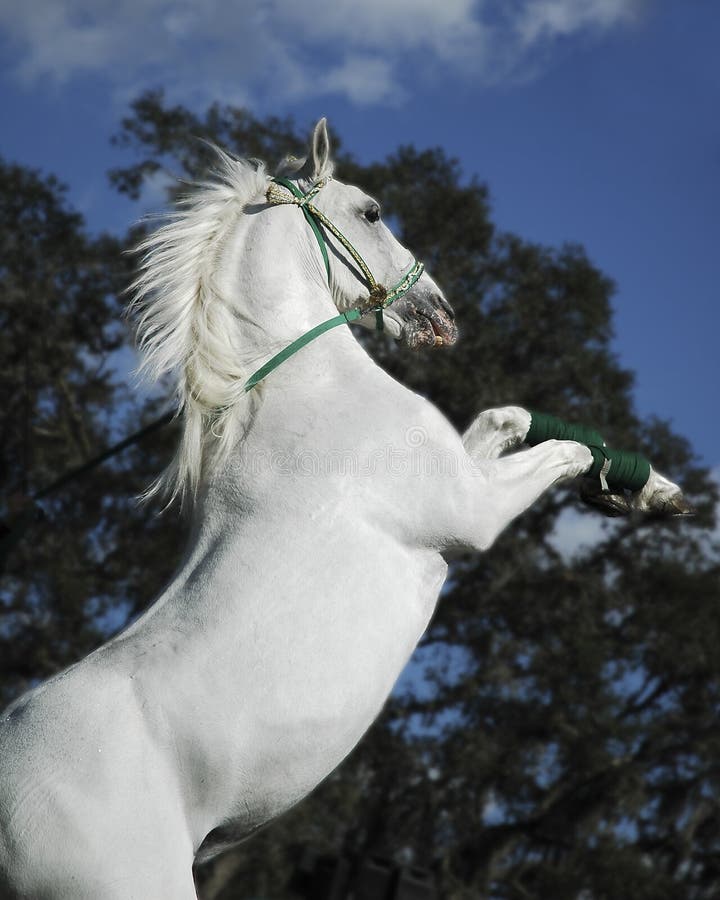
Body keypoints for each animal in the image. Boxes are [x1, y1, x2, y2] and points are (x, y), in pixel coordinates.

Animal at [0, 119, 690, 899]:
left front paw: (652, 487)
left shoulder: (463, 465)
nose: (441, 317)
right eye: (372, 211)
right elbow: (565, 450)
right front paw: (641, 487)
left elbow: (508, 417)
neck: (311, 388)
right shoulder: (472, 510)